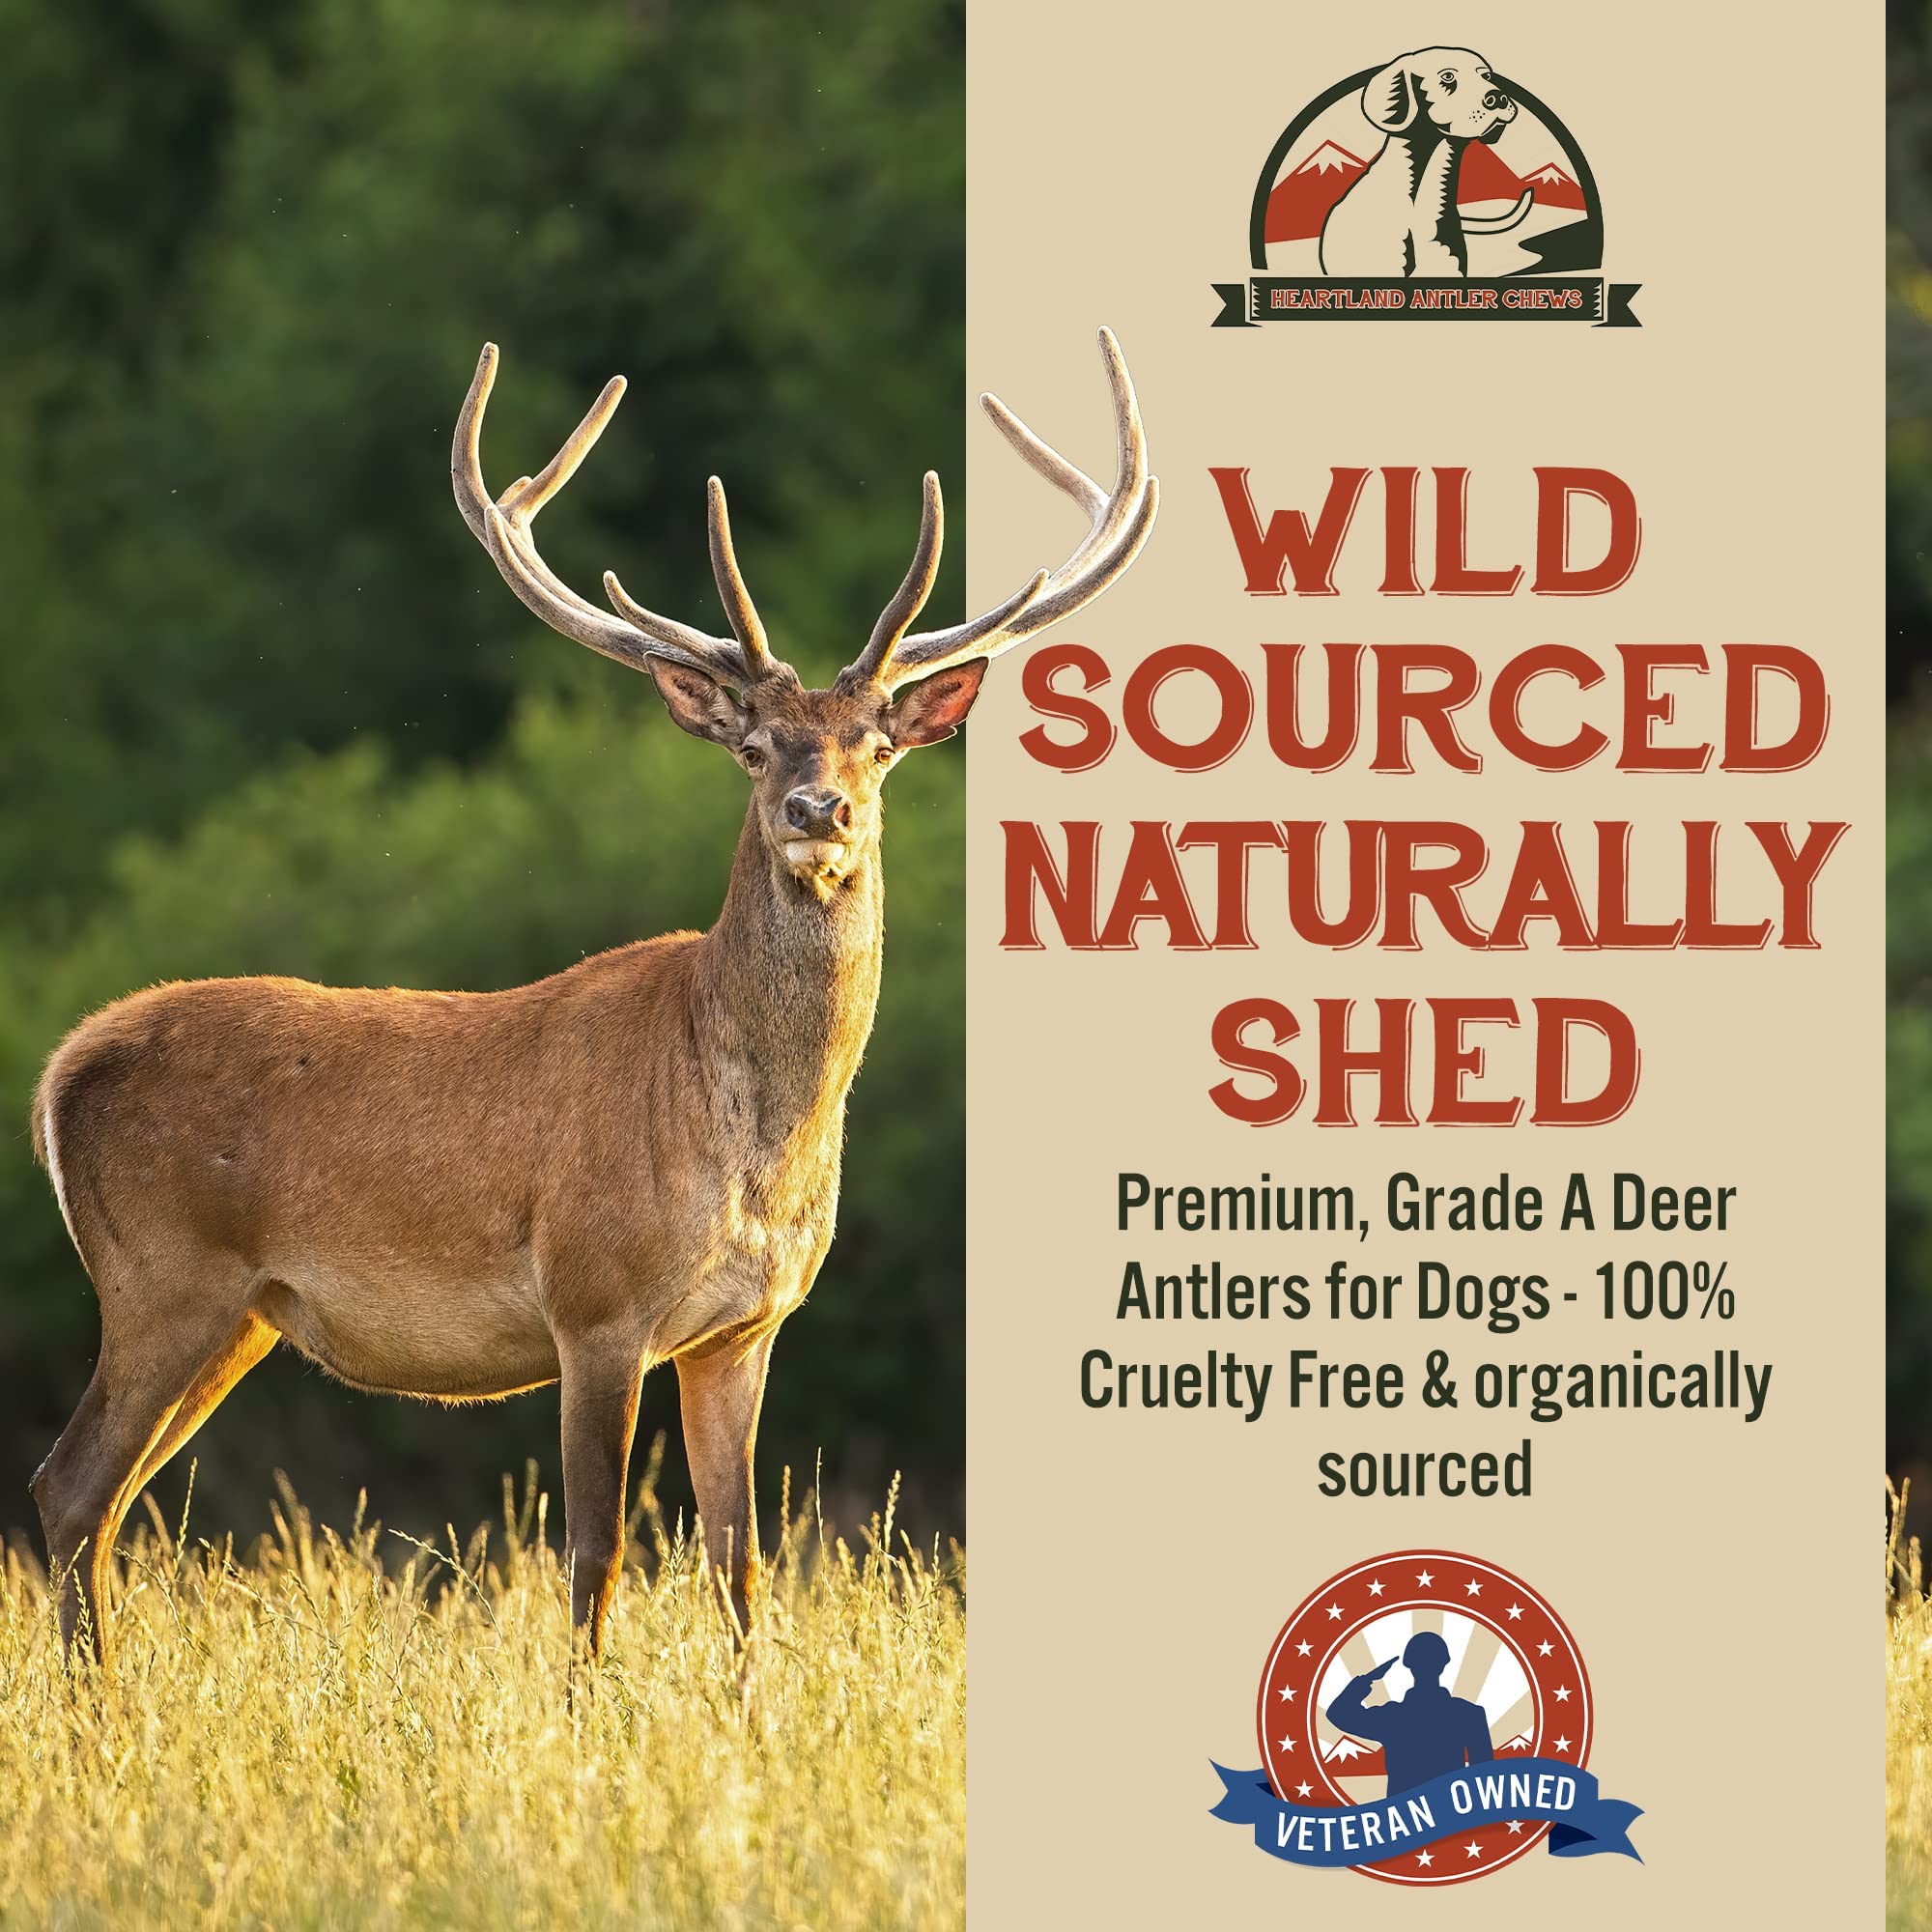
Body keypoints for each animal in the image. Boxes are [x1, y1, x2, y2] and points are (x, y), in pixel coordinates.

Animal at [27, 328, 1157, 1666]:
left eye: (877, 744)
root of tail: (60, 1072)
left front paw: (745, 1703)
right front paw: (581, 1702)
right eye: (754, 744)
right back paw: (95, 1698)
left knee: (103, 1498)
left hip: (240, 1311)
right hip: (162, 1275)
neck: (749, 1142)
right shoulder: (594, 1299)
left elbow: (740, 1559)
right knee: (68, 1483)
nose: (817, 809)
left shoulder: (745, 1327)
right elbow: (595, 1550)